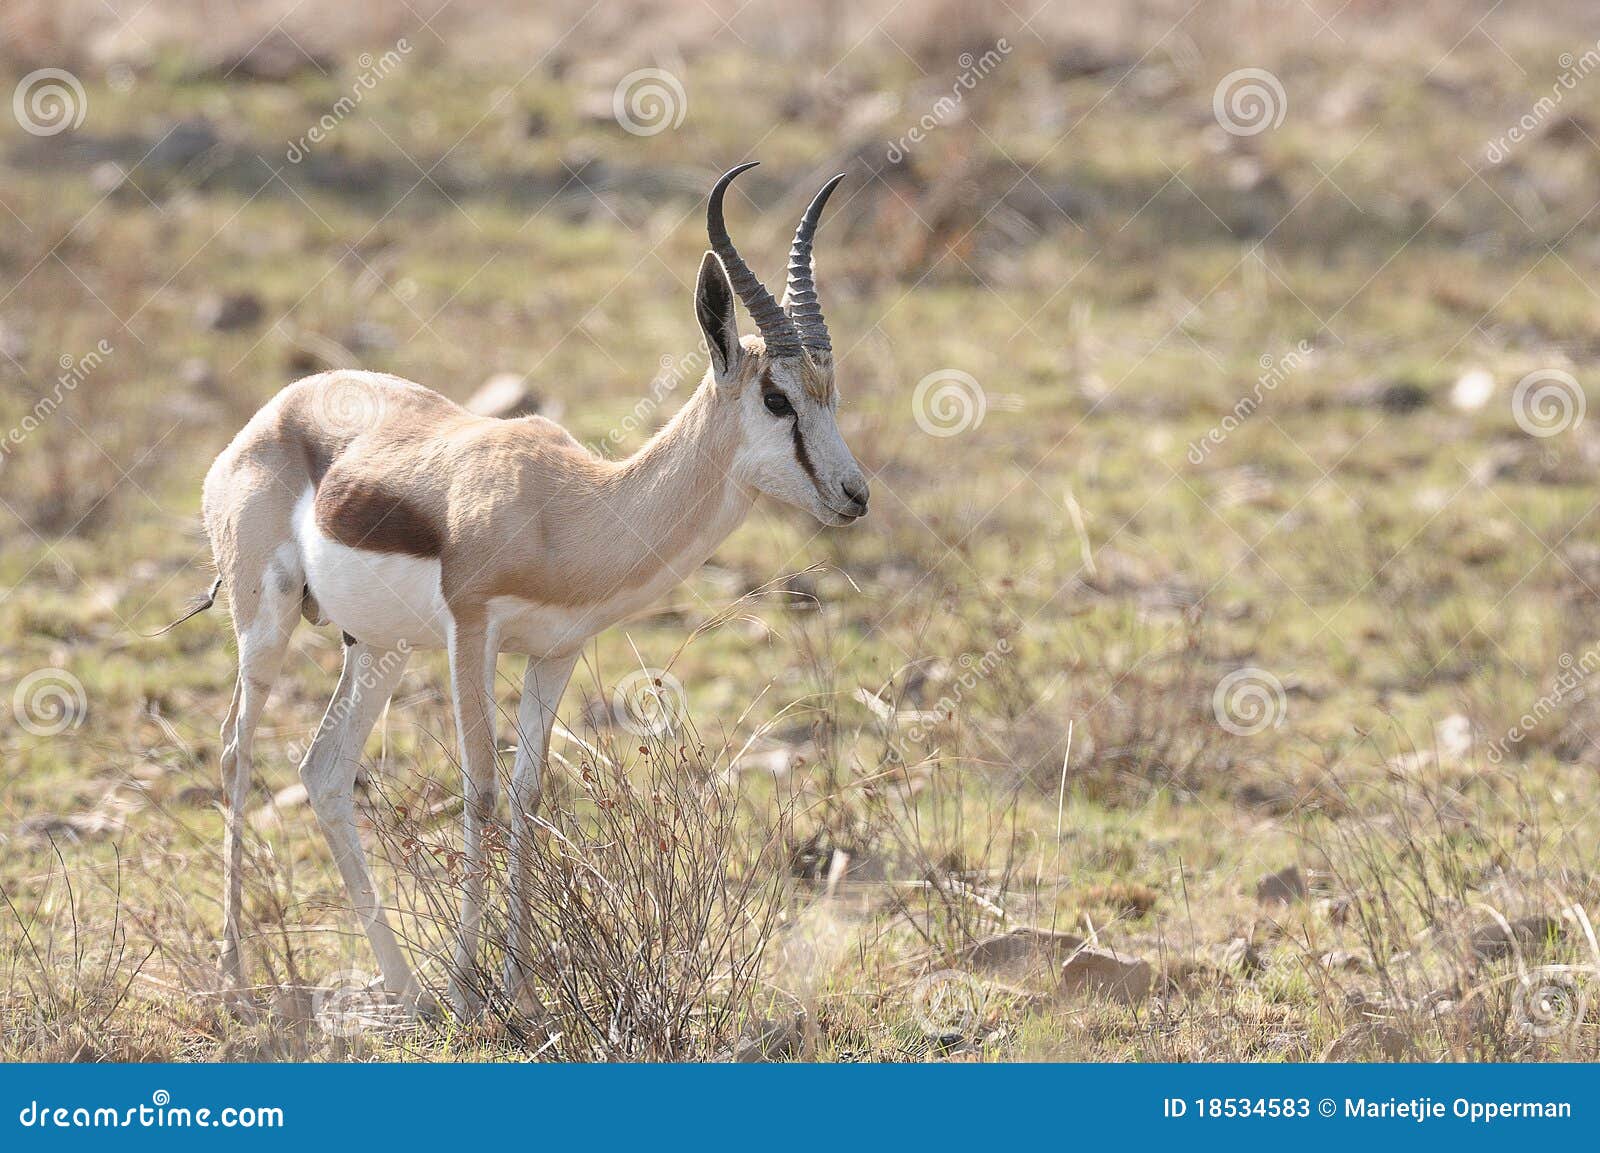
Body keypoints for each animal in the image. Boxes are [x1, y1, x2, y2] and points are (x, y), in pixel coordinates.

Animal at [190, 163, 868, 1016]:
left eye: (830, 390)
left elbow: (527, 793)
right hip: (268, 618)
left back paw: (403, 988)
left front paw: (517, 989)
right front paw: (468, 989)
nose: (854, 495)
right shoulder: (471, 633)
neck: (568, 509)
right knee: (235, 749)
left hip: (377, 647)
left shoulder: (555, 653)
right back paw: (237, 977)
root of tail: (275, 411)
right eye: (777, 398)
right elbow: (479, 790)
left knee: (324, 769)